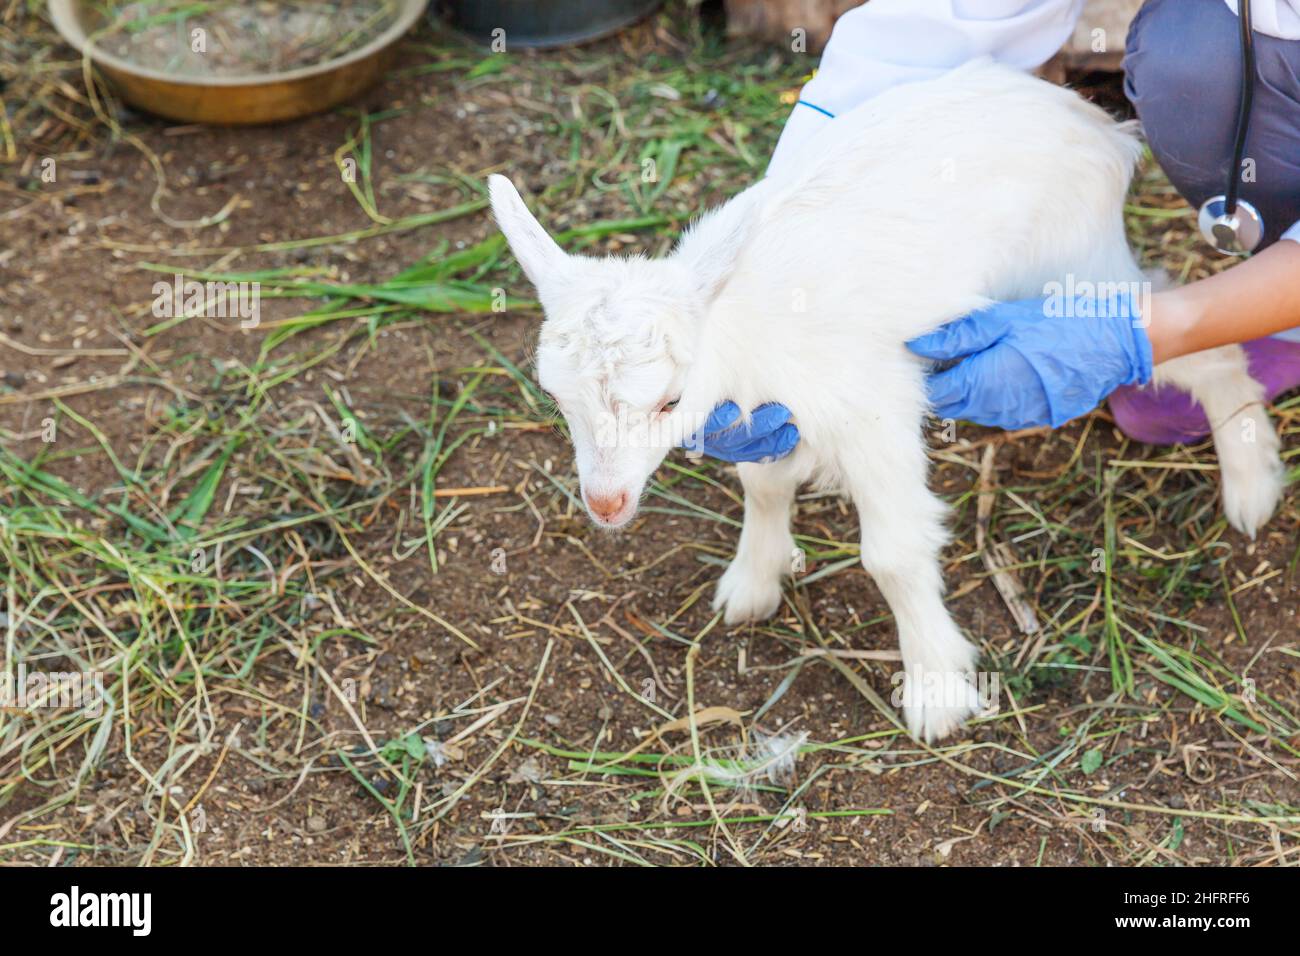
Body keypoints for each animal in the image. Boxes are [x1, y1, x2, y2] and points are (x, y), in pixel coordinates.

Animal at [488, 59, 1284, 741]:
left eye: (668, 400)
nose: (605, 504)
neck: (747, 324)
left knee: (1181, 339)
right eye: (557, 398)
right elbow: (763, 485)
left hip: (1073, 271)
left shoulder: (872, 408)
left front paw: (936, 686)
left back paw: (1251, 486)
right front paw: (754, 580)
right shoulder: (764, 412)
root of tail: (1099, 128)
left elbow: (893, 554)